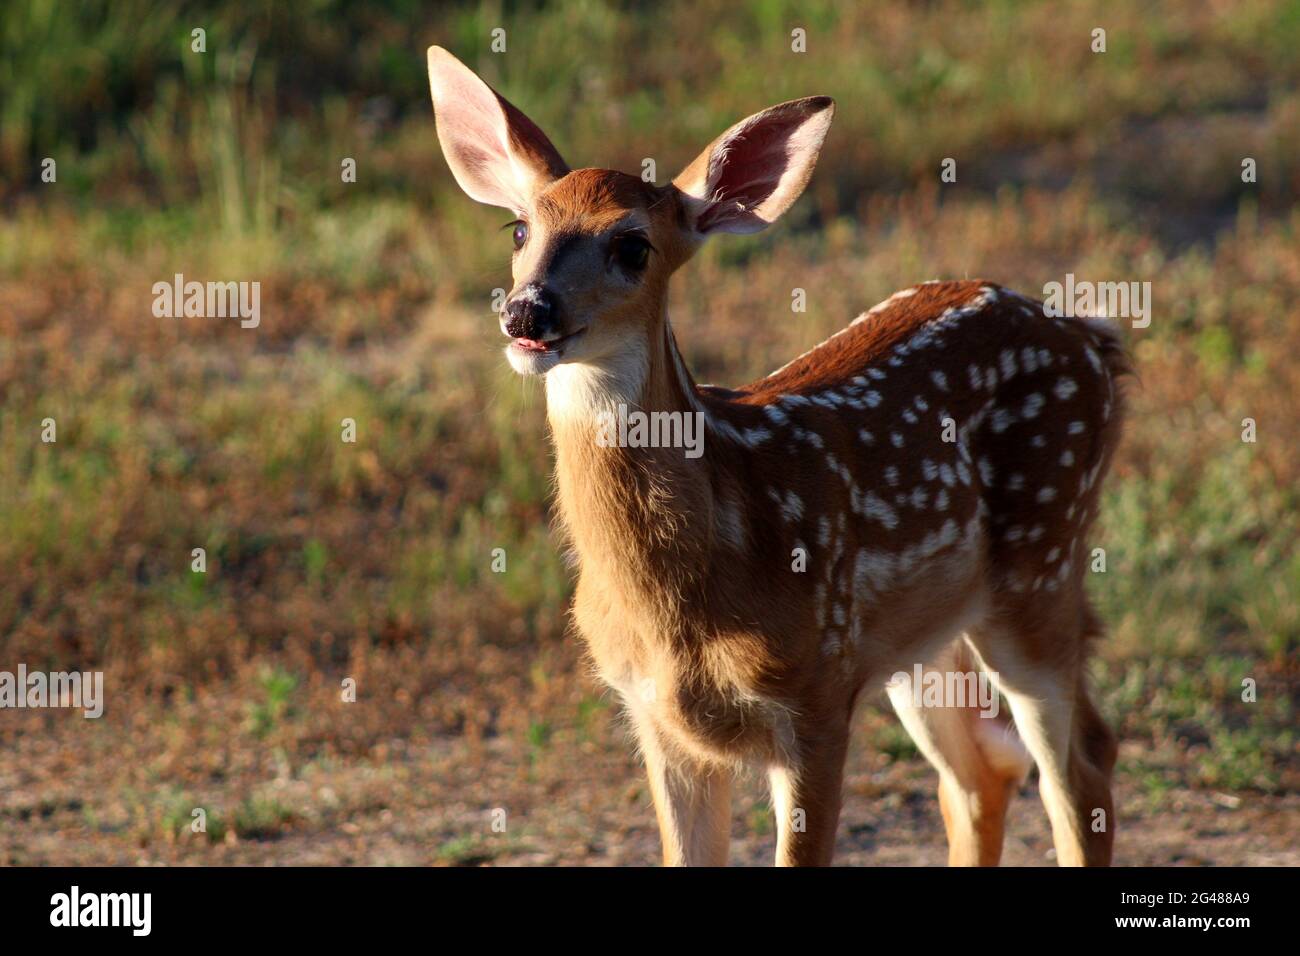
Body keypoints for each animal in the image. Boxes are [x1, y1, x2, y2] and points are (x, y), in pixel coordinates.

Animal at [426, 46, 1128, 867]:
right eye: (517, 229)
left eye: (632, 245)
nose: (527, 312)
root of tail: (1091, 338)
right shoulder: (657, 718)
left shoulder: (816, 693)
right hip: (924, 639)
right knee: (982, 774)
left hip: (1040, 565)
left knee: (1081, 764)